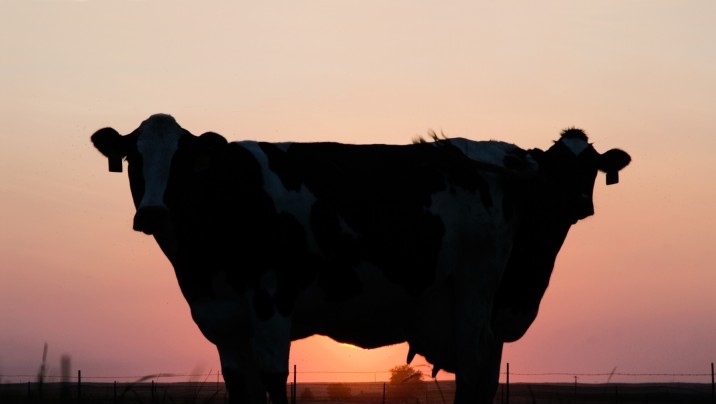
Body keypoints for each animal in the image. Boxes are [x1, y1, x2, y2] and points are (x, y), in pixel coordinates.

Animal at [91, 114, 630, 404]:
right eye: (134, 159)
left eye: (184, 163)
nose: (153, 212)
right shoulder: (224, 322)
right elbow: (242, 390)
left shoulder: (271, 306)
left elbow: (273, 384)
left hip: (474, 297)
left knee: (474, 374)